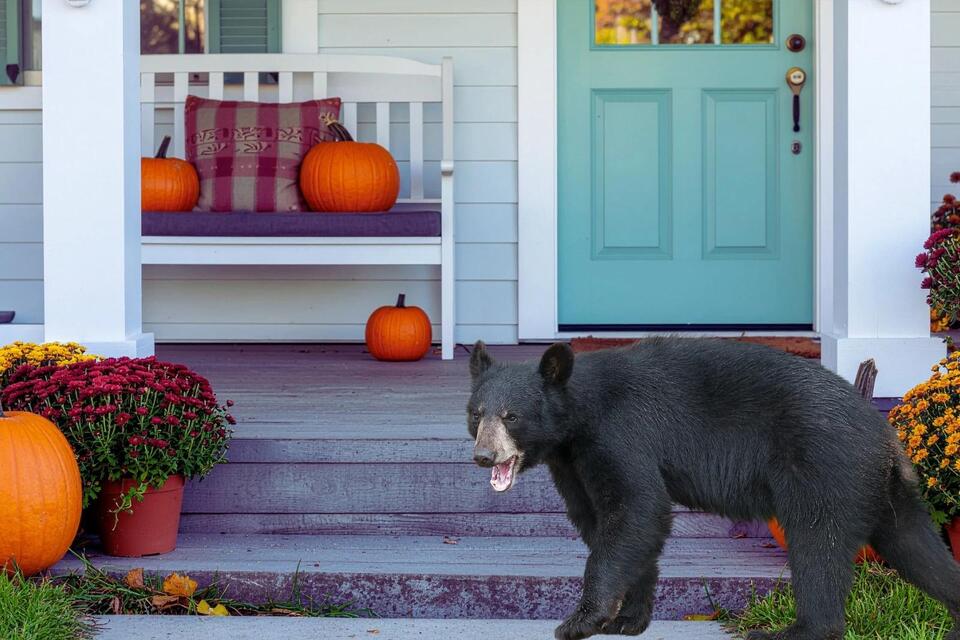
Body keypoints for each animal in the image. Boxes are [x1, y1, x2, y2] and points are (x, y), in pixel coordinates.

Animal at [465, 338, 960, 640]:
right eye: (476, 413)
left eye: (512, 416)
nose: (484, 456)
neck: (578, 417)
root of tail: (885, 435)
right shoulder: (572, 464)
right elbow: (608, 521)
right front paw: (629, 619)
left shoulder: (621, 435)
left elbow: (637, 509)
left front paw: (580, 620)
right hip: (881, 490)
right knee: (916, 547)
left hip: (823, 469)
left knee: (817, 545)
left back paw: (796, 630)